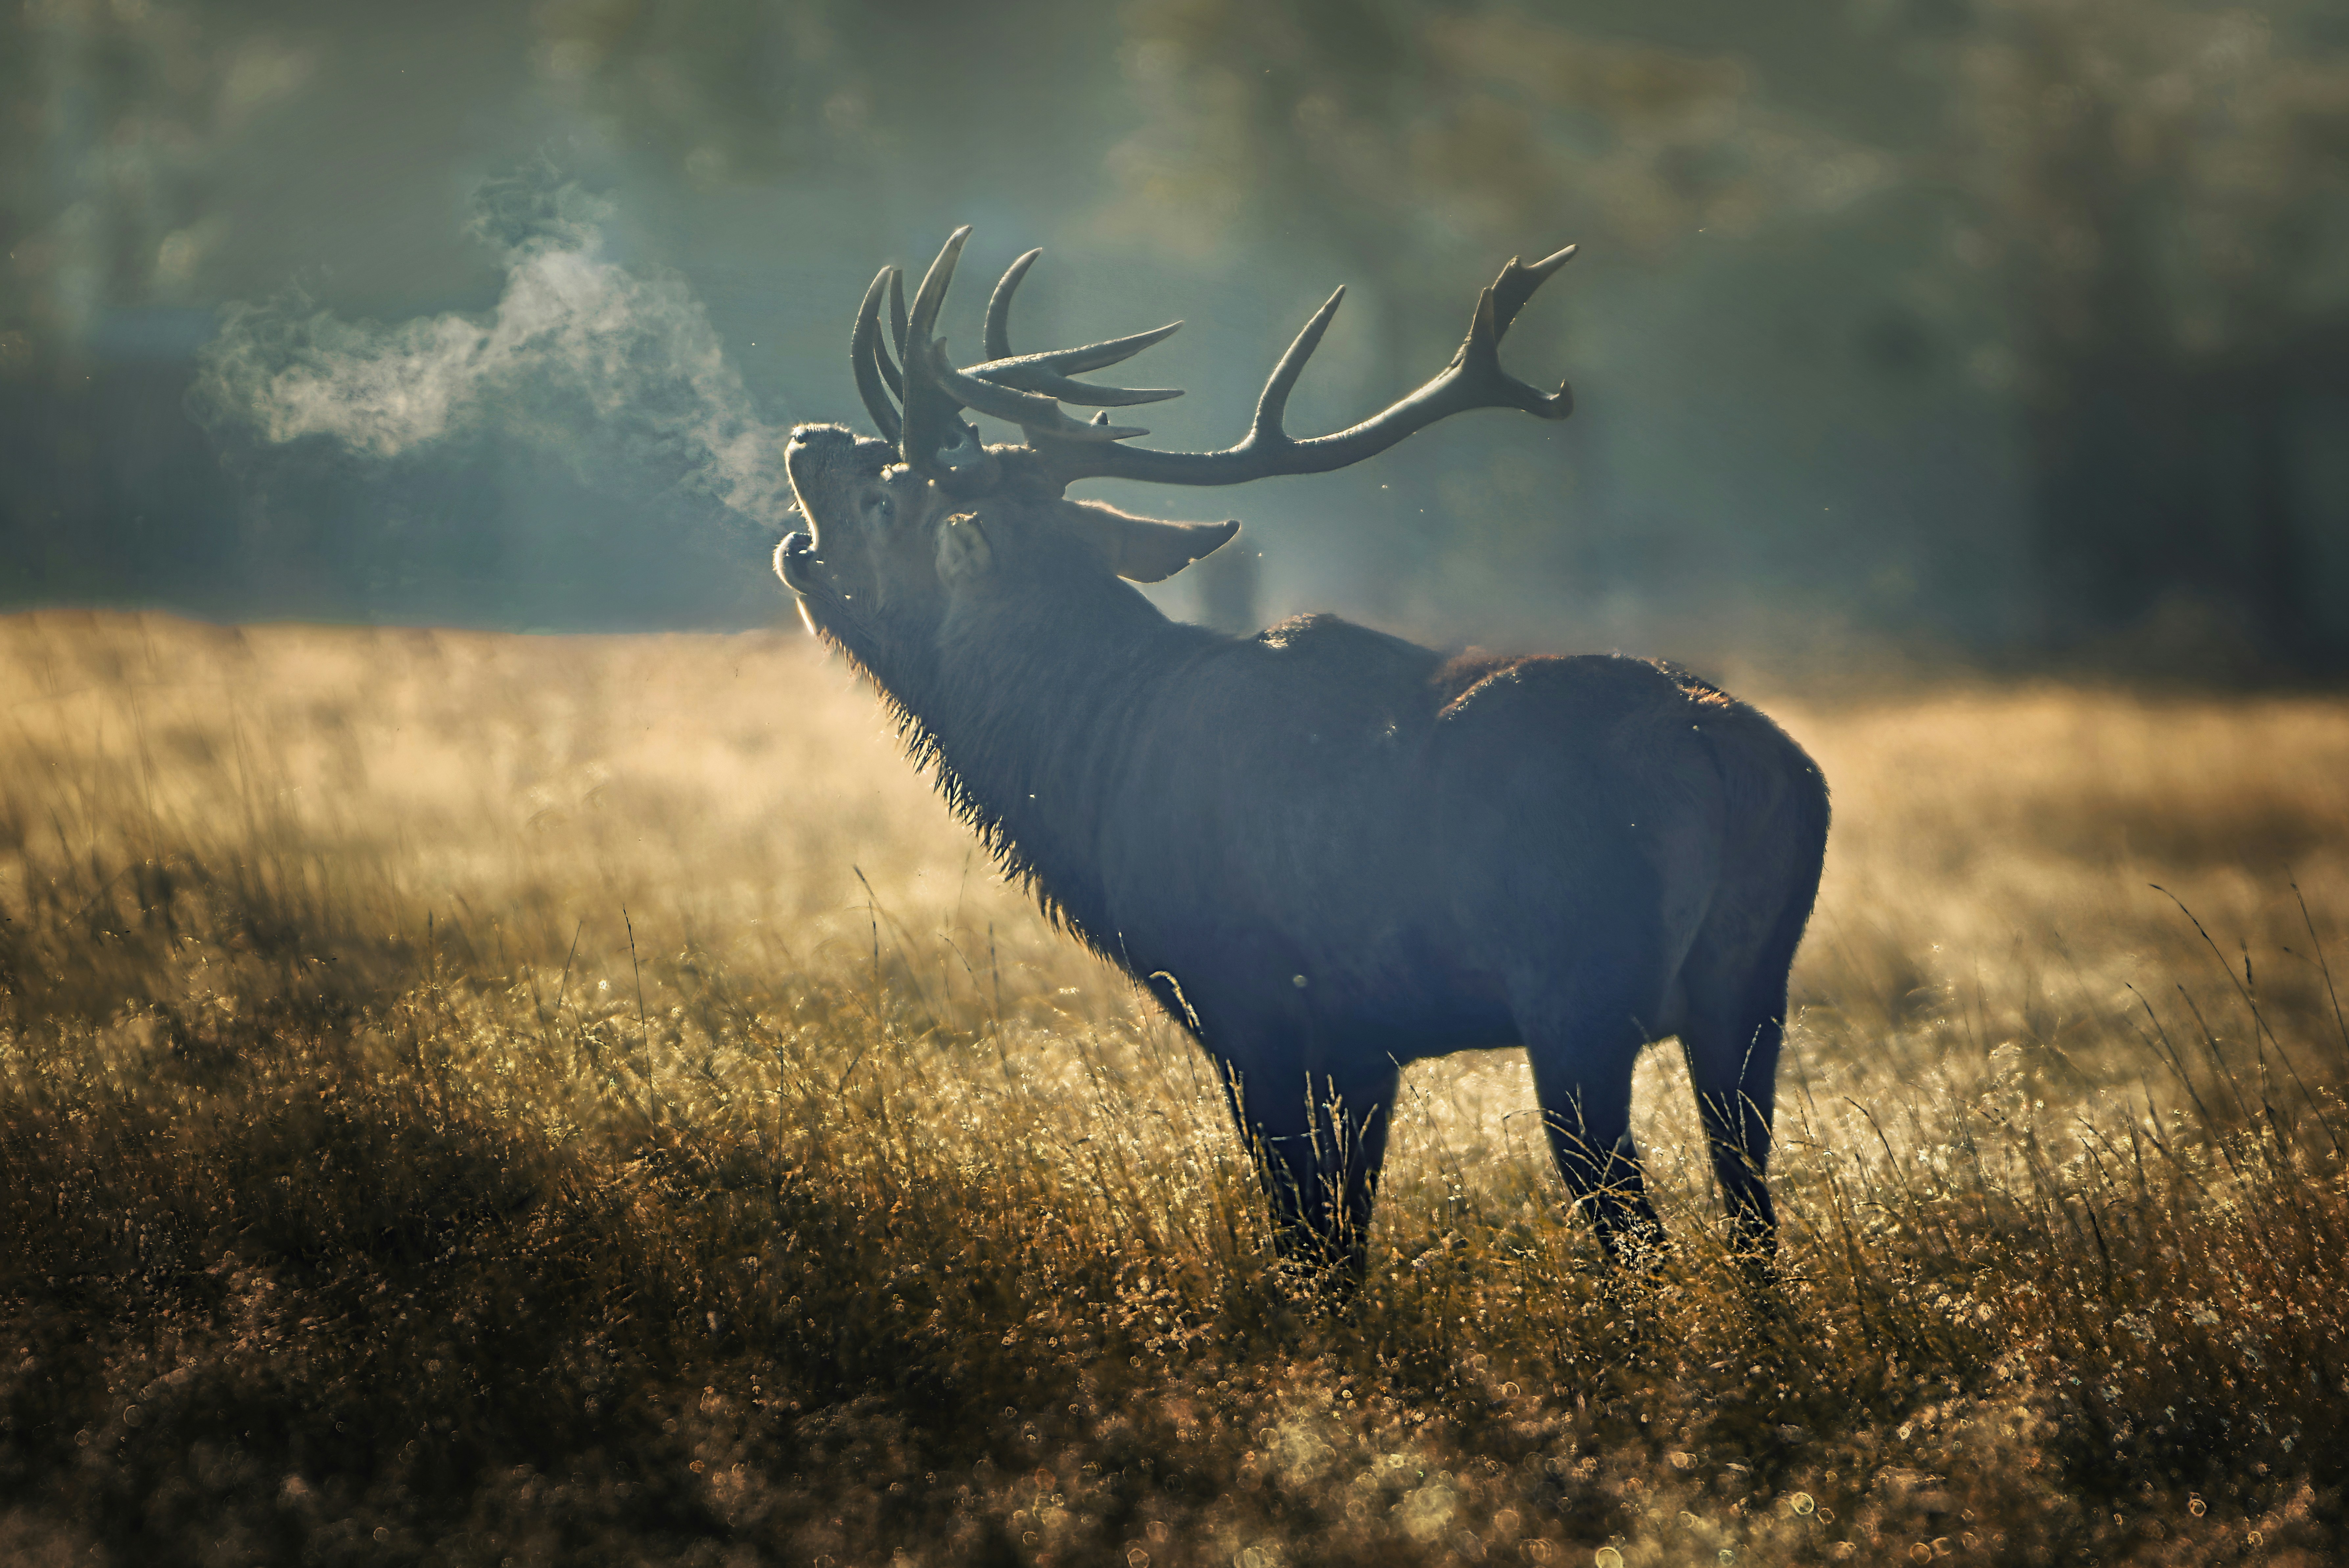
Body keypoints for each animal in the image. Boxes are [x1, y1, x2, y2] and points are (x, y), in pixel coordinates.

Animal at [775, 228, 1829, 1289]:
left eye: (885, 498)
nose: (808, 438)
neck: (1088, 772)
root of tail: (1742, 762)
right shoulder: (1366, 1045)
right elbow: (1346, 1243)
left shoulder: (1249, 1006)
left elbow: (1303, 1239)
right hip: (1752, 993)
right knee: (1754, 1226)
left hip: (1581, 990)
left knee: (1640, 1237)